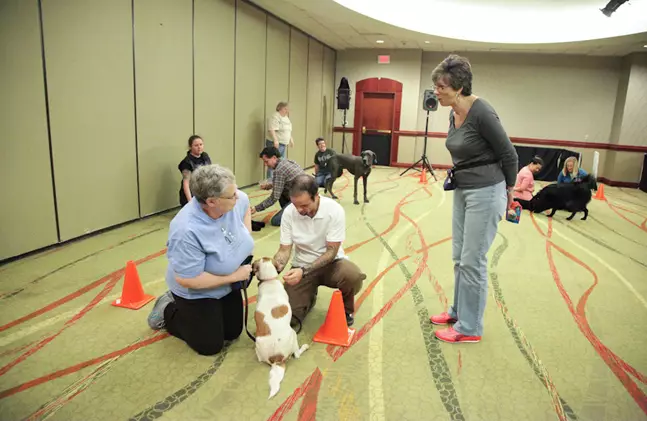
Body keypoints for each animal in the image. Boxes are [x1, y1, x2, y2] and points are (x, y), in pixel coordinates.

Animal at [252, 256, 310, 398]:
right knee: (297, 354)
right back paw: (304, 347)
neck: (269, 280)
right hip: (293, 335)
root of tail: (276, 359)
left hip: (258, 343)